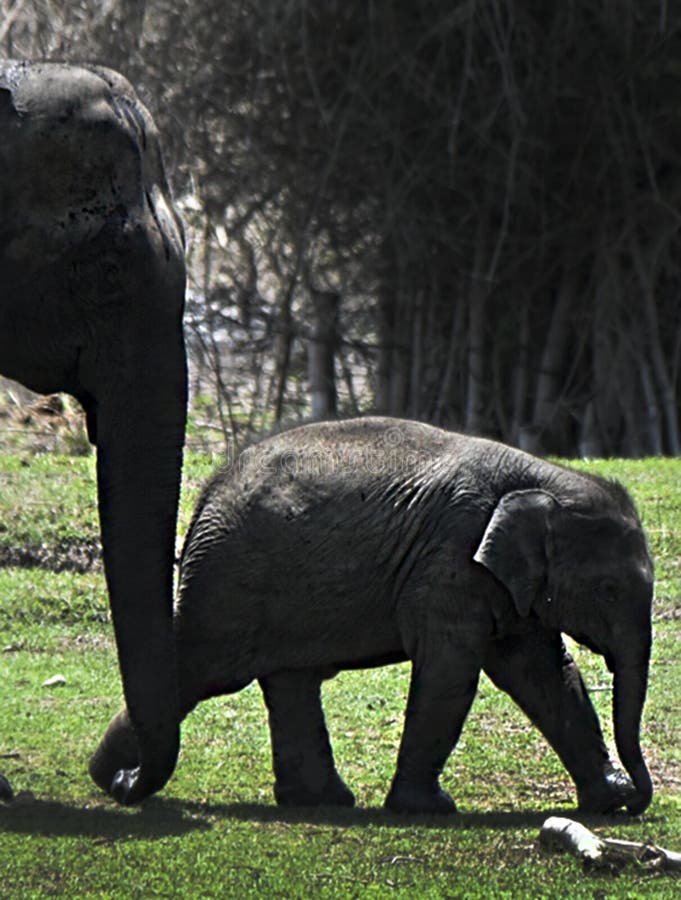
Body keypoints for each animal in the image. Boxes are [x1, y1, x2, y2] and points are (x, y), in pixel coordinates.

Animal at [90, 417, 654, 815]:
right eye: (608, 590)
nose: (638, 800)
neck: (542, 478)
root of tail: (208, 490)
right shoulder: (450, 563)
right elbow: (452, 673)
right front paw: (429, 810)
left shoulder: (507, 583)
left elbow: (546, 674)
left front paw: (610, 803)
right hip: (227, 582)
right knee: (198, 672)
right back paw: (114, 781)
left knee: (290, 681)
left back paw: (319, 802)